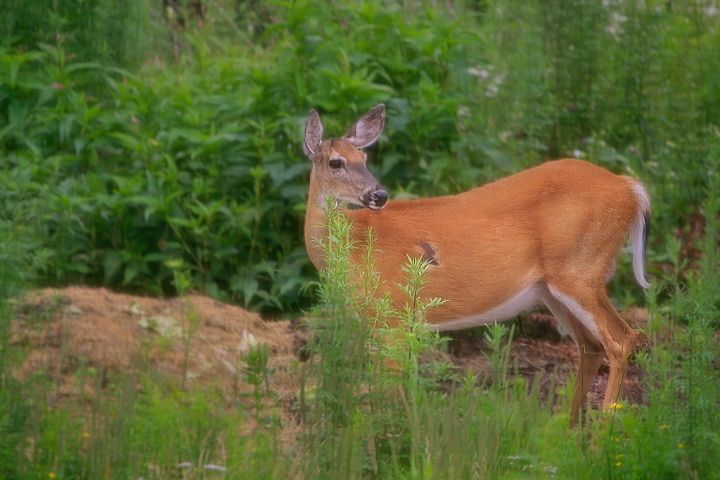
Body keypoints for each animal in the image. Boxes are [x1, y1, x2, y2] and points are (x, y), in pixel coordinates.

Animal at [302, 104, 650, 425]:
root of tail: (631, 188)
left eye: (364, 159)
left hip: (580, 269)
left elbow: (391, 390)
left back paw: (602, 432)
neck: (355, 243)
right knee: (590, 345)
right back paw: (564, 427)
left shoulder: (394, 315)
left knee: (622, 340)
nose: (379, 195)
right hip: (554, 288)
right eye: (336, 162)